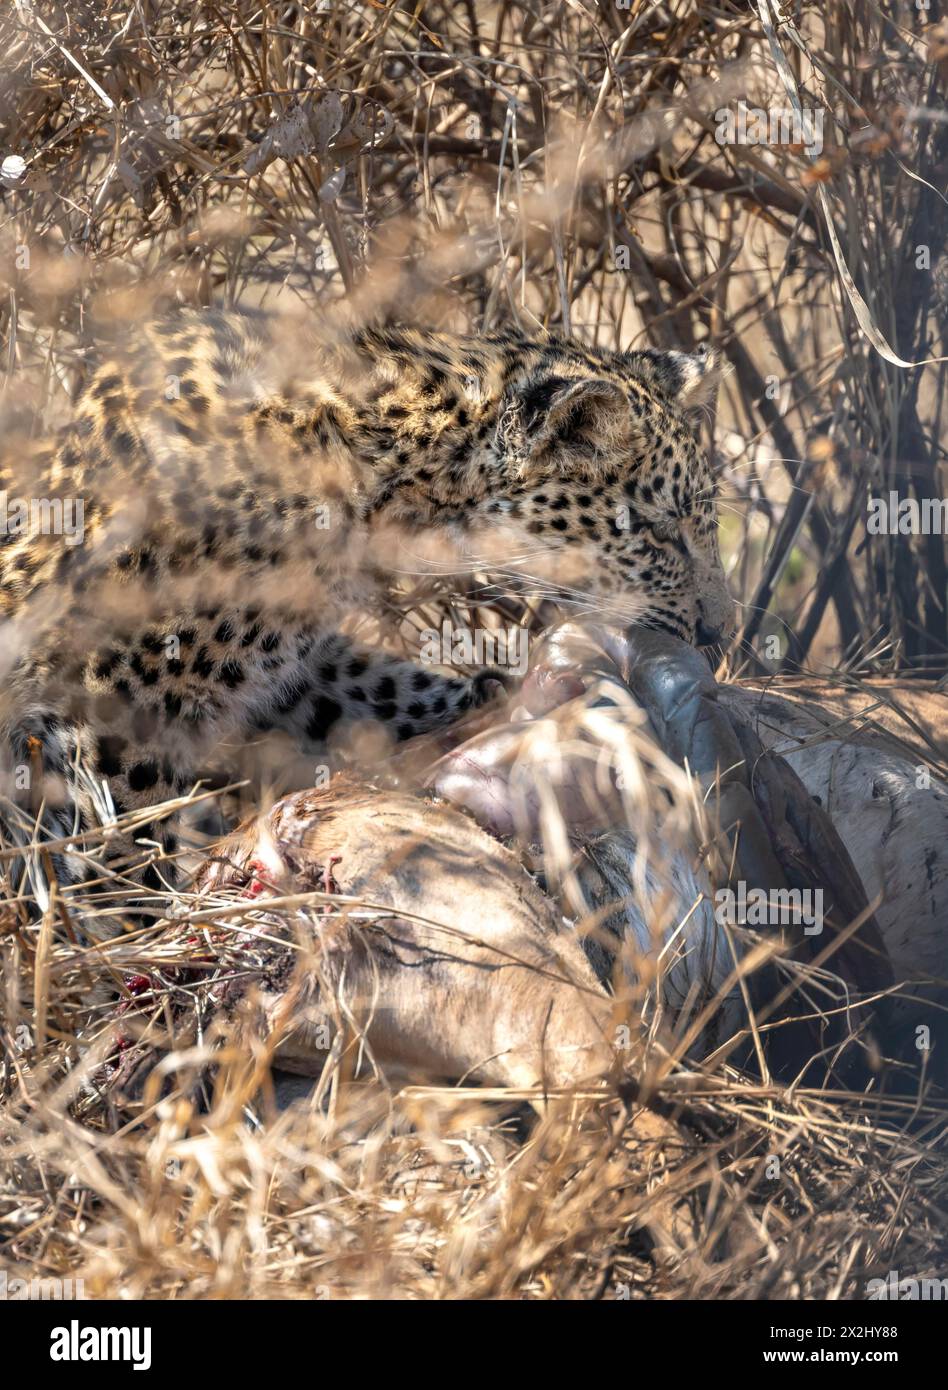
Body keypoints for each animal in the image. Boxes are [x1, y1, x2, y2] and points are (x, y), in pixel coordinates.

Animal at [0, 308, 734, 893]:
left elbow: (377, 690)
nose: (717, 637)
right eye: (662, 531)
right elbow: (120, 846)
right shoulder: (117, 701)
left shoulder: (293, 664)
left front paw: (497, 694)